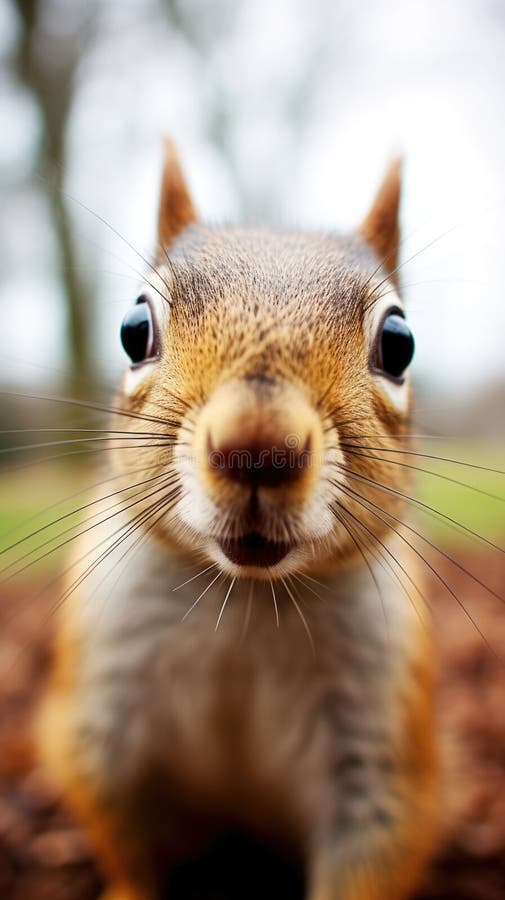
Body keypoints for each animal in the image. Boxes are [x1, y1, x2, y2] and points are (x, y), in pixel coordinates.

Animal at [37, 141, 438, 900]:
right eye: (133, 330)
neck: (245, 604)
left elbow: (373, 843)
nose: (257, 444)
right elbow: (120, 832)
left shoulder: (378, 755)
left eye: (400, 342)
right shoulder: (99, 715)